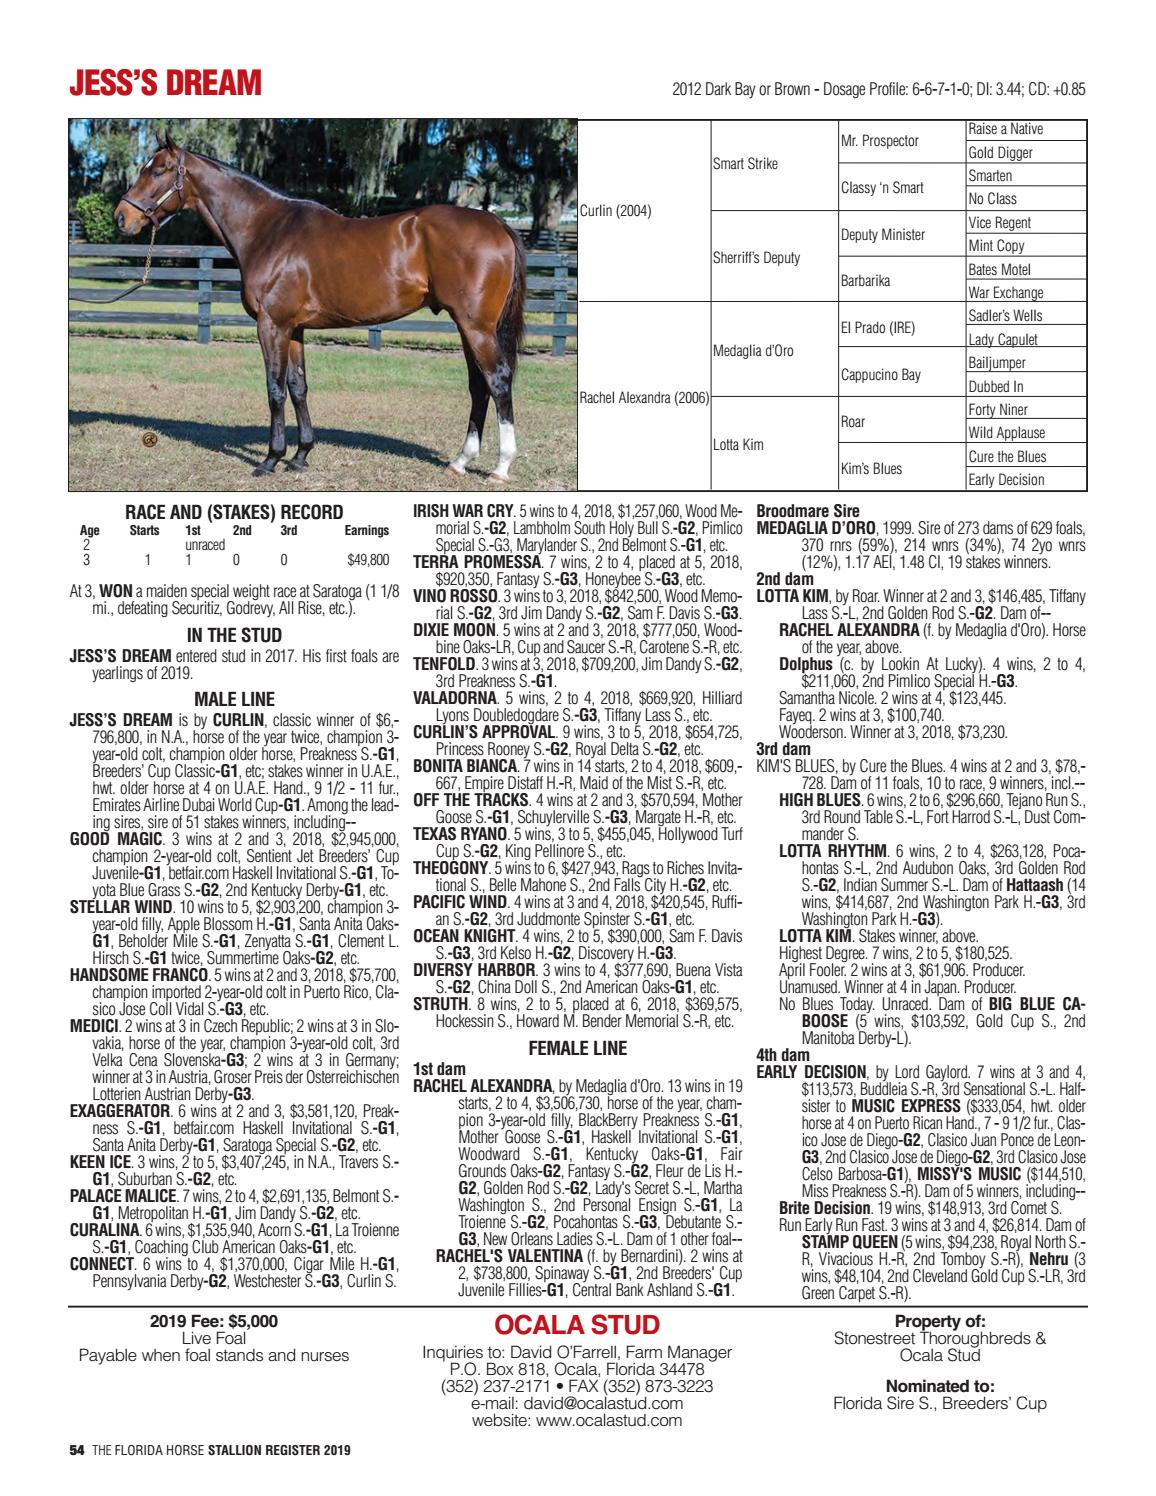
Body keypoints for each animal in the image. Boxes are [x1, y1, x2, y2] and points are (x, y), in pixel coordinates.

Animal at [115, 138, 526, 482]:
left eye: (157, 170)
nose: (122, 217)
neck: (268, 230)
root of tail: (498, 224)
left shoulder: (272, 326)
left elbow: (275, 390)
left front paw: (270, 459)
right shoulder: (294, 329)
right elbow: (298, 387)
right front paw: (300, 456)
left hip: (476, 327)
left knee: (497, 380)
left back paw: (500, 468)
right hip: (468, 327)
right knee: (478, 386)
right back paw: (460, 462)